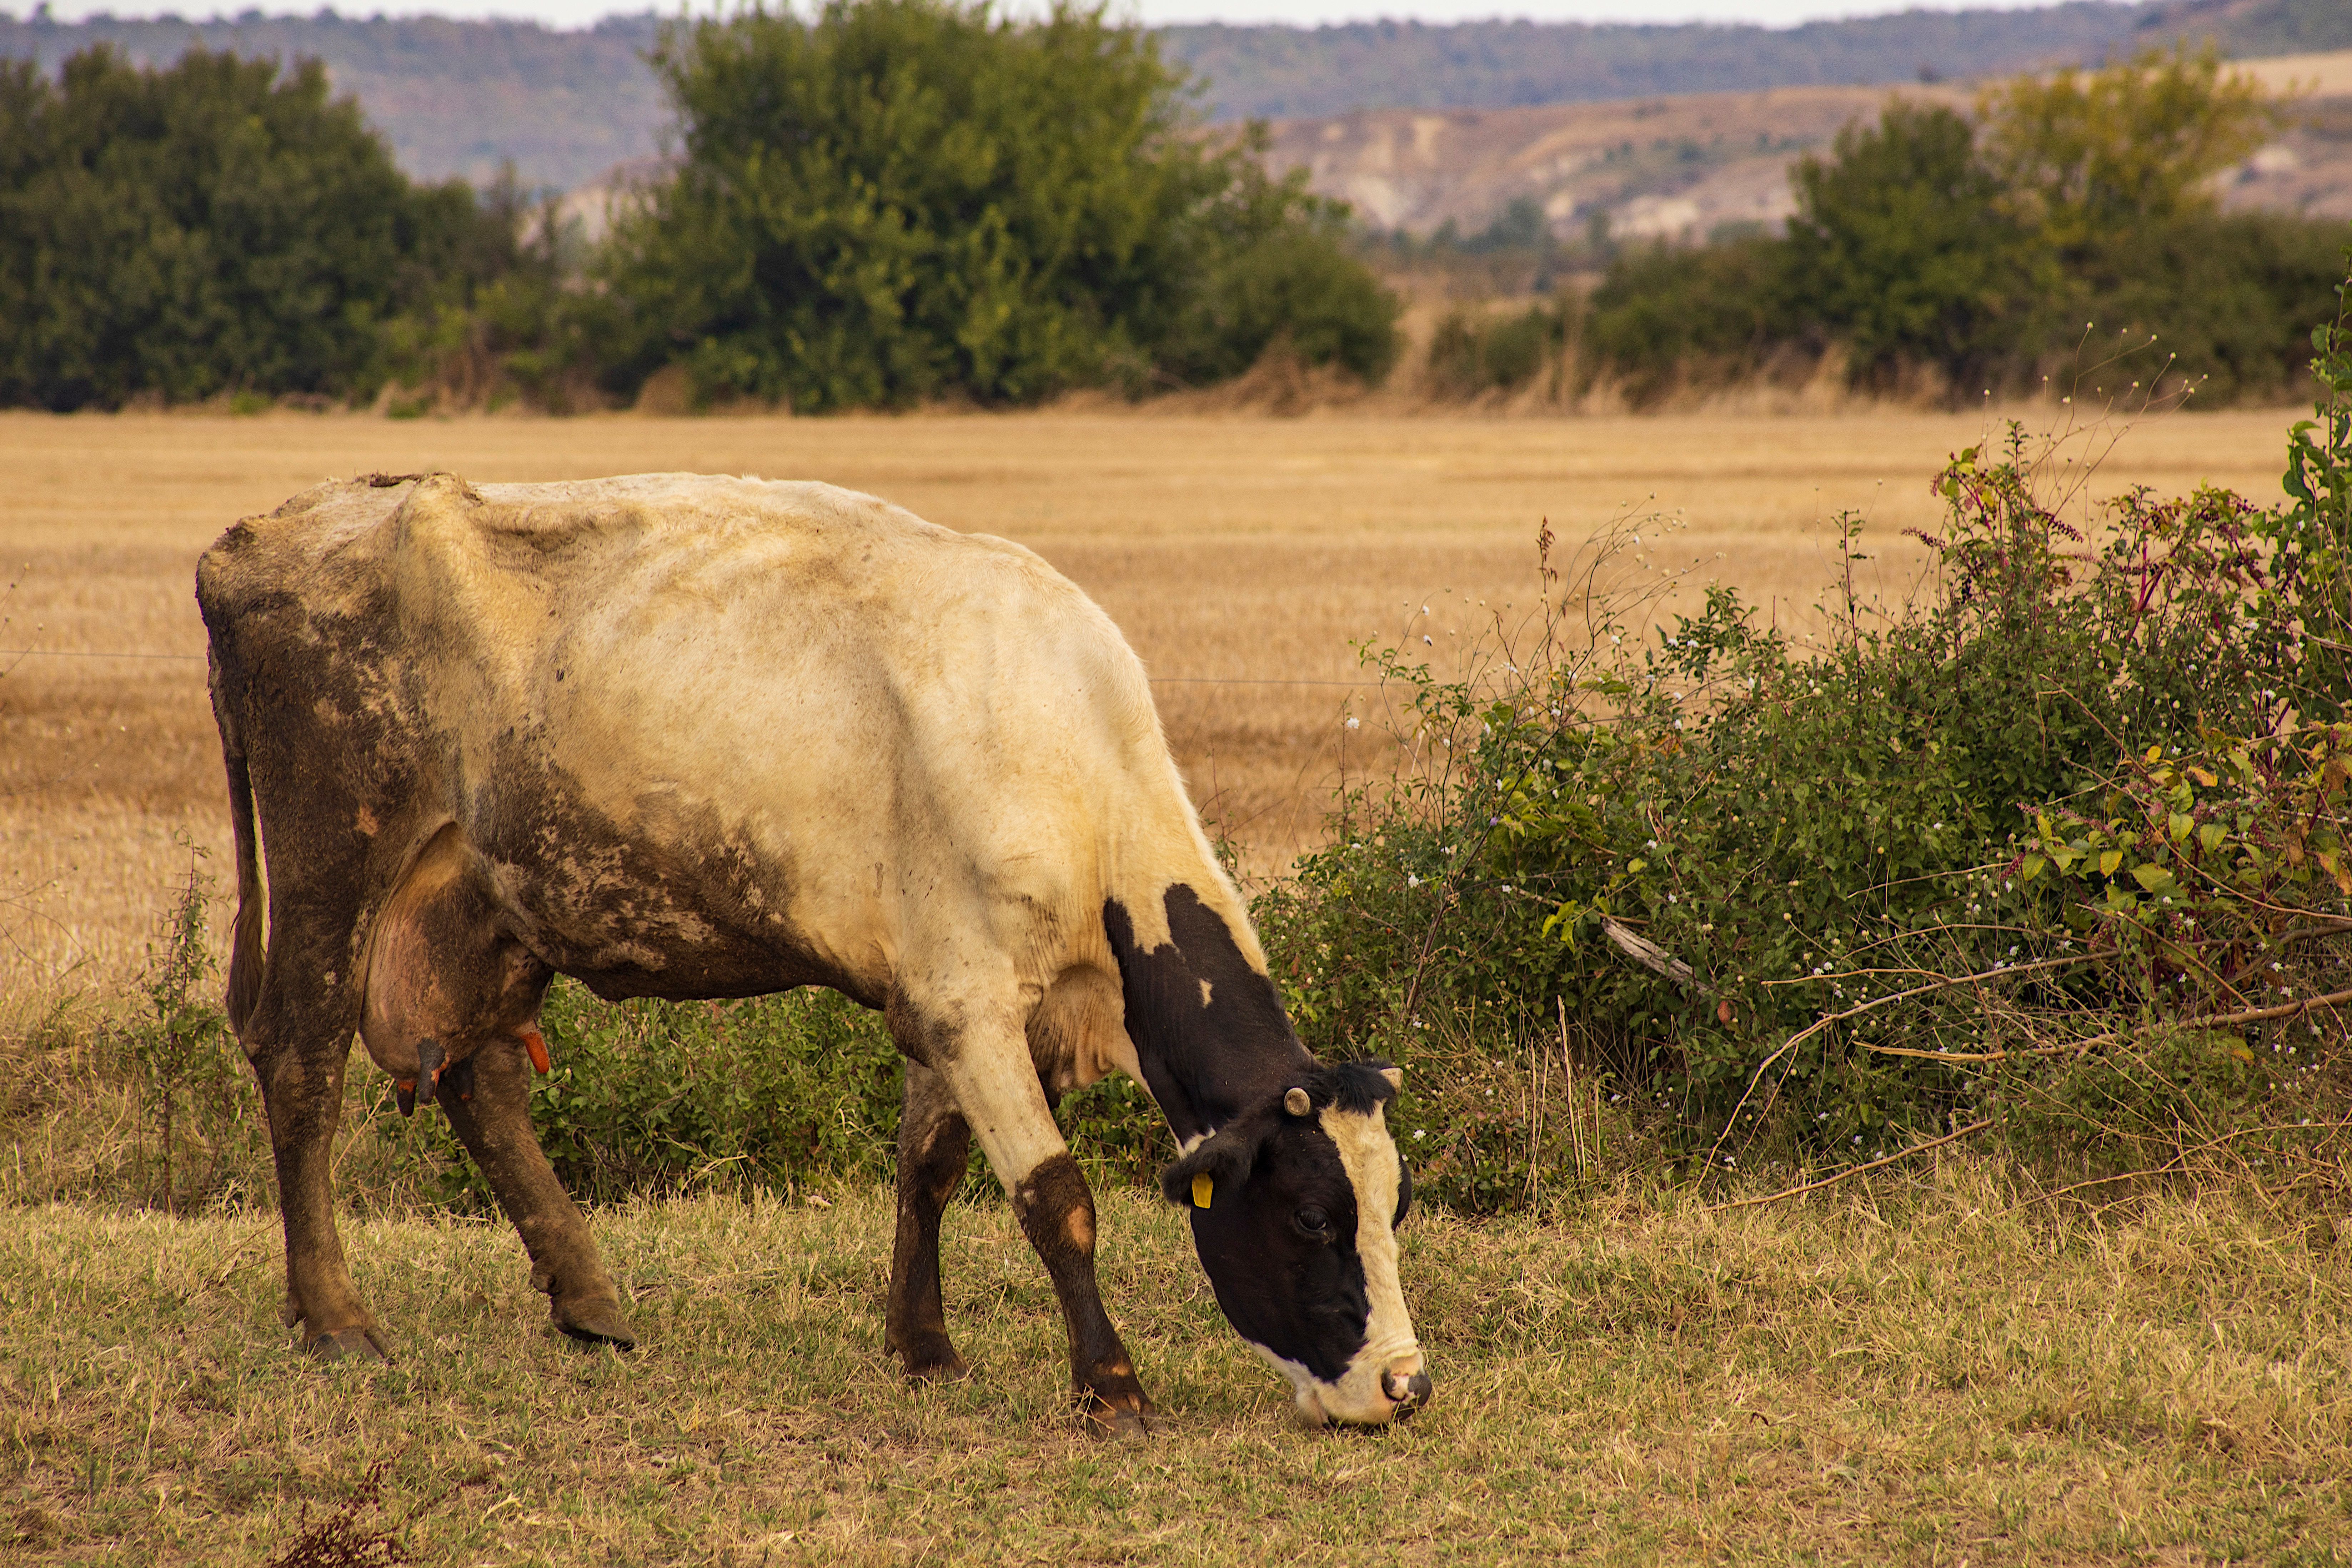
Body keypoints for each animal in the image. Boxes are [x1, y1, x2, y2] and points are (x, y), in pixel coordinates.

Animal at [195, 471, 1431, 1433]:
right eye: (1314, 1219)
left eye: (1396, 1209)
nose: (1403, 1386)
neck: (1070, 757)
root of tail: (261, 536)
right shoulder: (968, 1002)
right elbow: (1054, 1196)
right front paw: (1110, 1386)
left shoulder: (952, 1000)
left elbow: (929, 1168)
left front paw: (921, 1345)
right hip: (331, 860)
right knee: (302, 1060)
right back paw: (337, 1318)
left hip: (497, 899)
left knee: (482, 1080)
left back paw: (589, 1298)